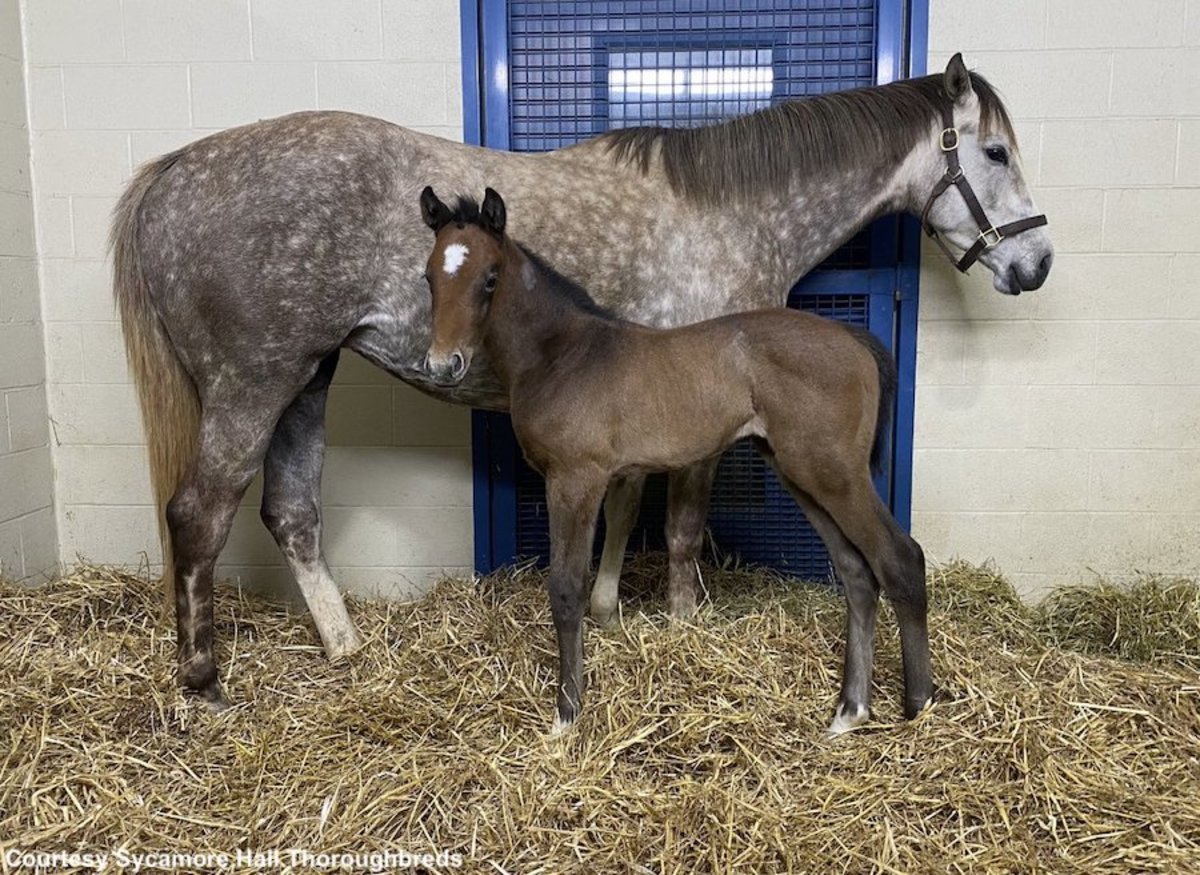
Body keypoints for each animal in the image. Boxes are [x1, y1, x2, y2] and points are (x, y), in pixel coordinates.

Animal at [419, 185, 925, 734]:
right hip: (803, 473)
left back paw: (920, 704)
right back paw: (850, 711)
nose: (443, 365)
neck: (562, 356)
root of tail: (854, 339)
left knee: (900, 558)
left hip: (836, 474)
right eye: (428, 276)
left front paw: (567, 714)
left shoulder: (575, 479)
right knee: (857, 572)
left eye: (490, 278)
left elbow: (566, 588)